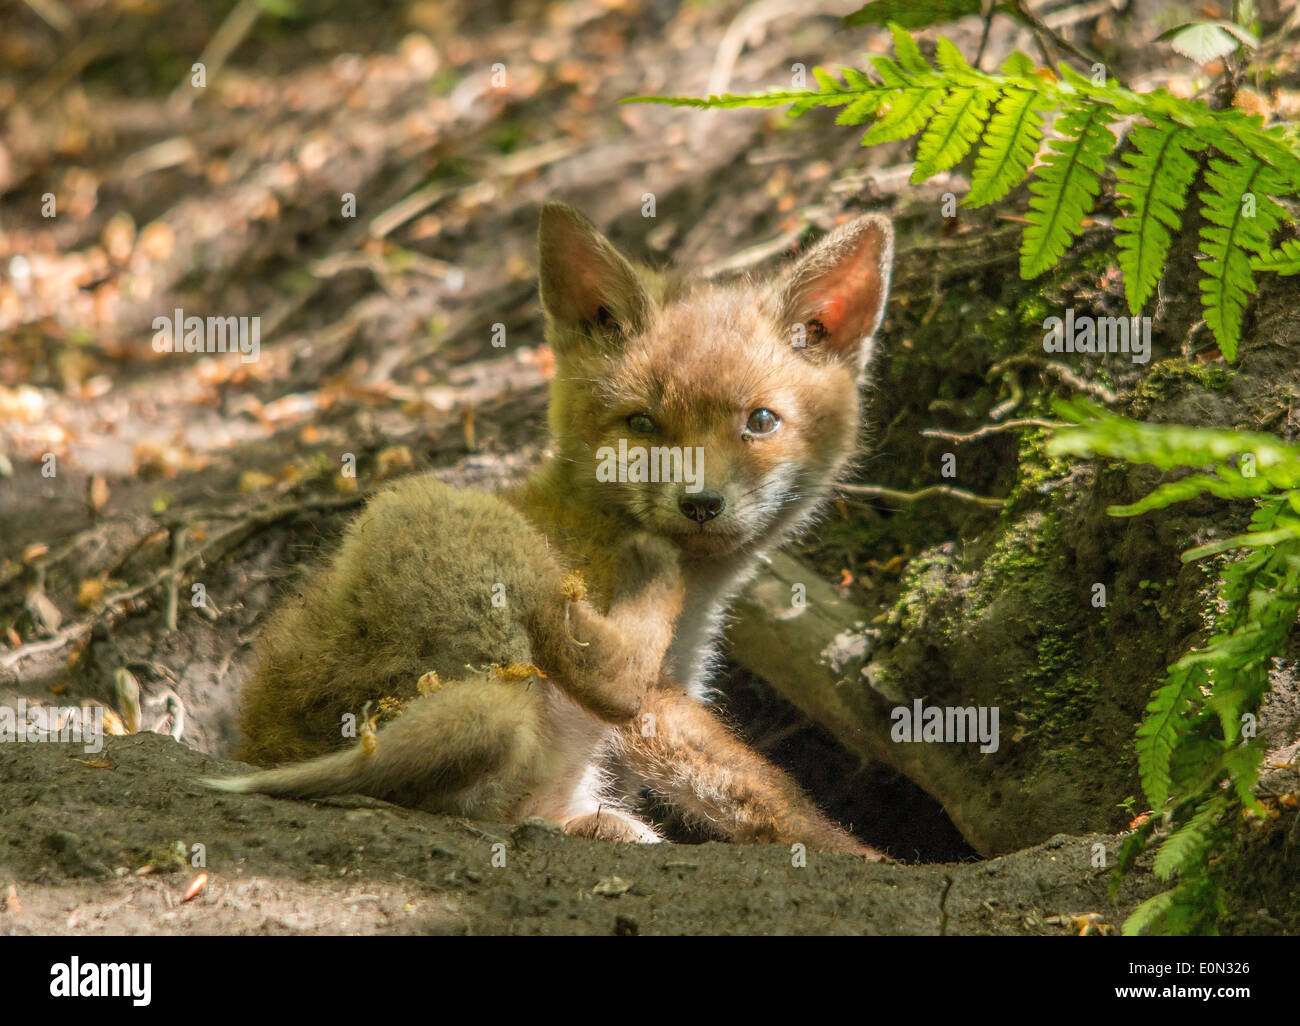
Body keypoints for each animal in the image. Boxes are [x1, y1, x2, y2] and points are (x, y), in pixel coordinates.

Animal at [205, 201, 893, 856]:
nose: (700, 504)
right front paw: (859, 855)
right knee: (601, 675)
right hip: (438, 509)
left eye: (761, 421)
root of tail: (264, 744)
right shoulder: (659, 703)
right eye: (642, 423)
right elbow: (761, 791)